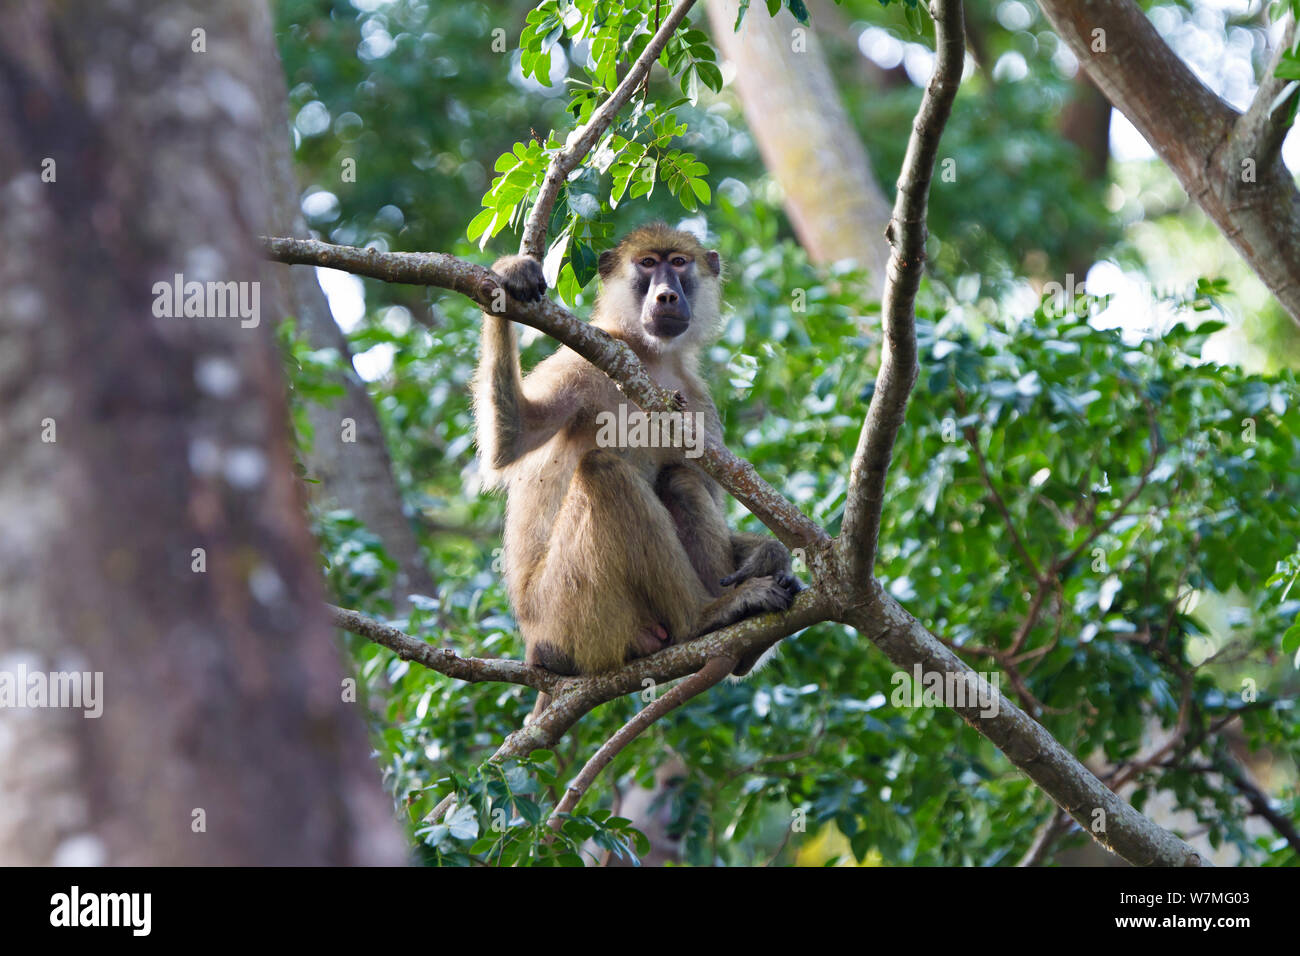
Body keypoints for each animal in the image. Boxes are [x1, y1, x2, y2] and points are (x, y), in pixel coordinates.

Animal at [474, 223, 798, 692]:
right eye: (647, 264)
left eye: (678, 263)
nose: (666, 296)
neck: (650, 358)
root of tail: (538, 646)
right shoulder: (586, 360)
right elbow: (510, 440)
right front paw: (508, 276)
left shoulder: (695, 400)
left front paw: (769, 553)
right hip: (571, 611)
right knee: (604, 471)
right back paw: (702, 618)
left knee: (679, 478)